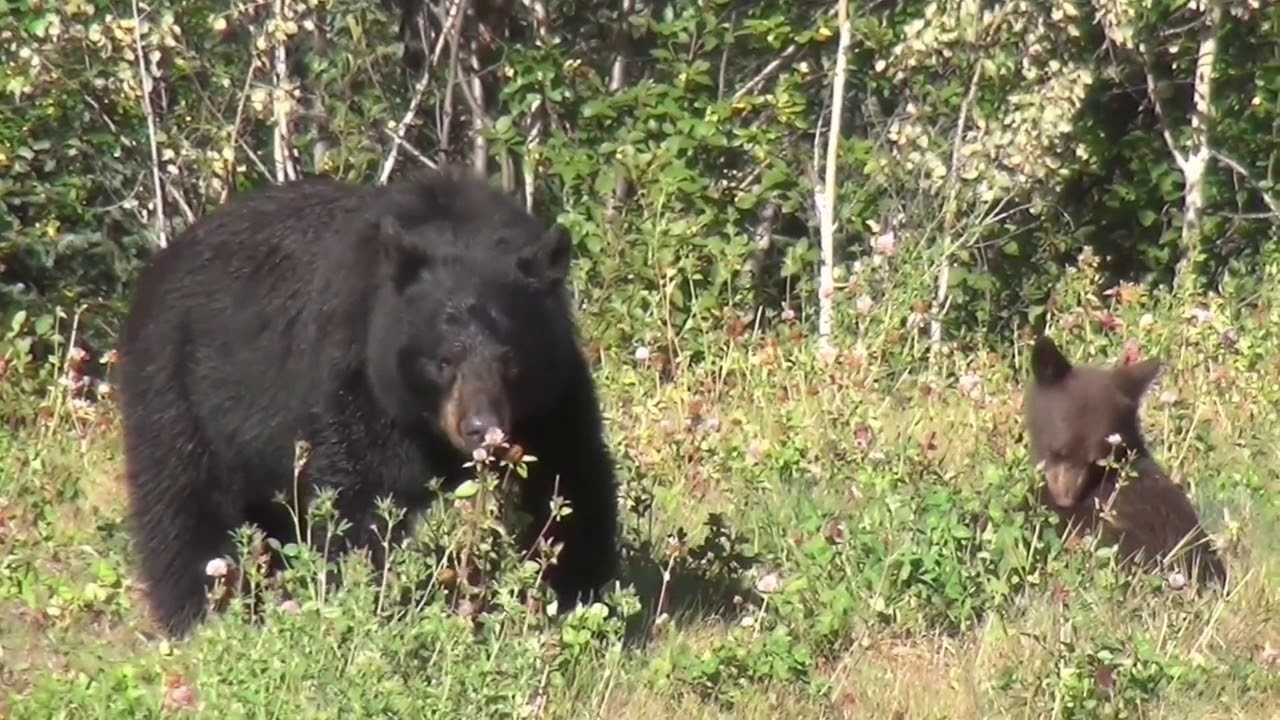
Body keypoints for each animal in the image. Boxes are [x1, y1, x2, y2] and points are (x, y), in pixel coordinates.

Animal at [117, 168, 620, 639]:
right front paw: (373, 600)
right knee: (182, 503)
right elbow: (362, 495)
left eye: (510, 359)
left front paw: (582, 597)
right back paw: (198, 615)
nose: (483, 429)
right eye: (443, 360)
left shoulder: (552, 395)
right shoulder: (357, 376)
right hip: (175, 388)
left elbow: (569, 477)